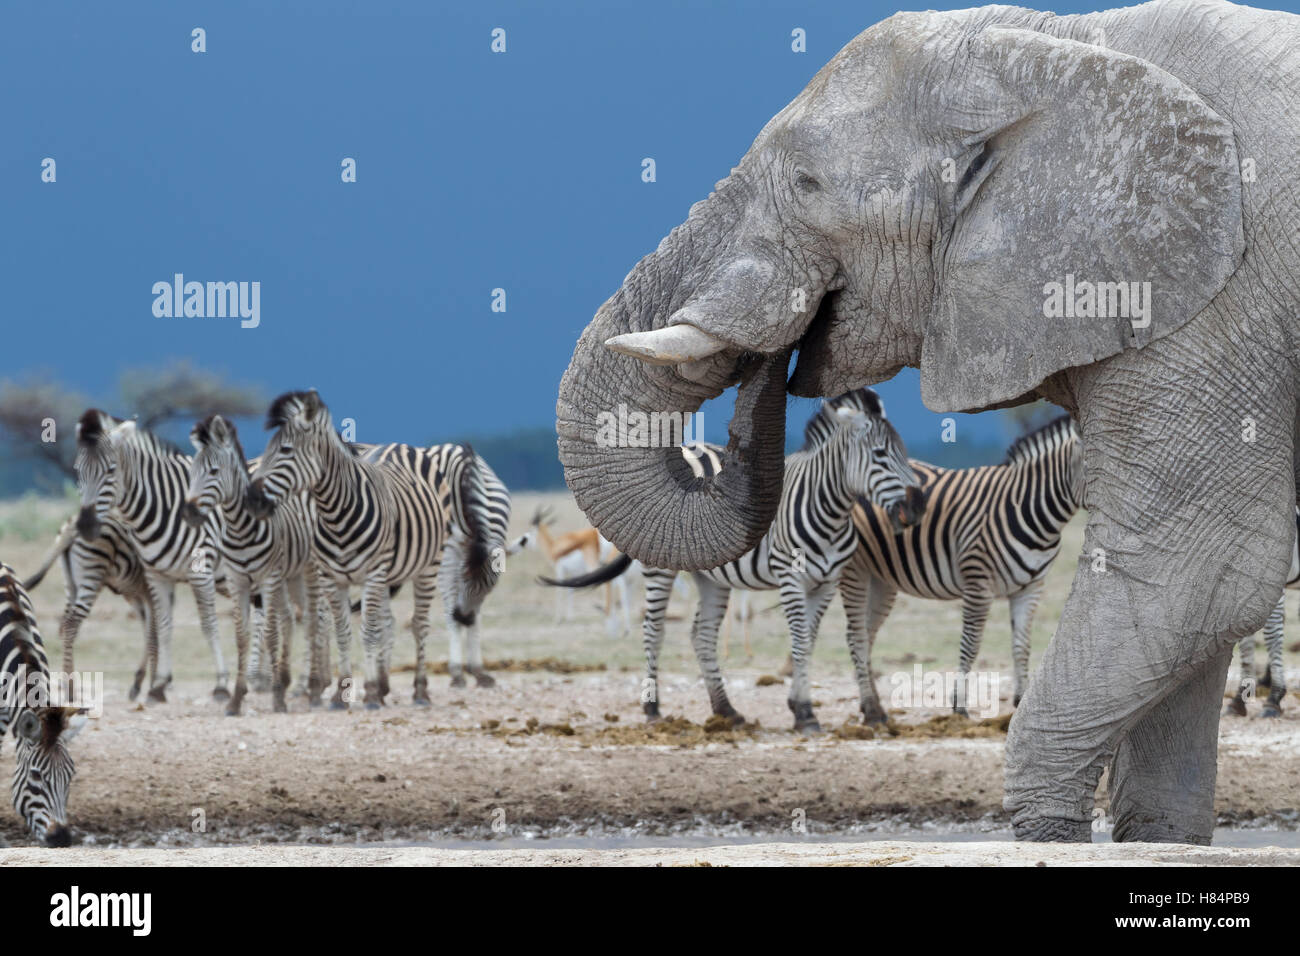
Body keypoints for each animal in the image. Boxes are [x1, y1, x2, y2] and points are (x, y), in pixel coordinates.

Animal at [75, 409, 229, 702]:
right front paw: (158, 686)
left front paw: (222, 685)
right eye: (78, 471)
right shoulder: (158, 575)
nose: (86, 525)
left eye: (110, 470)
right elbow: (165, 625)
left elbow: (209, 624)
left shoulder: (200, 572)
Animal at [182, 414, 342, 714]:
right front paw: (236, 698)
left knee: (314, 619)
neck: (240, 528)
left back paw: (314, 688)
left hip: (308, 571)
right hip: (290, 577)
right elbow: (242, 636)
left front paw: (277, 698)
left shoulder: (268, 579)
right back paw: (290, 679)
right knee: (291, 618)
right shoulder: (238, 581)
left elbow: (269, 633)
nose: (188, 512)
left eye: (214, 472)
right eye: (192, 473)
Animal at [547, 390, 923, 733]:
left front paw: (798, 704)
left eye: (905, 452)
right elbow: (800, 640)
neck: (830, 511)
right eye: (880, 455)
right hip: (660, 567)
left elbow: (809, 640)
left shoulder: (827, 582)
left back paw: (727, 711)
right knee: (654, 629)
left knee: (701, 635)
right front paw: (804, 713)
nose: (917, 506)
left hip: (710, 576)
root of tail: (687, 446)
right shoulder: (790, 578)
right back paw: (653, 710)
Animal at [840, 411, 1083, 722]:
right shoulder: (978, 582)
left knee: (867, 634)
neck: (1033, 511)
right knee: (855, 635)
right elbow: (971, 644)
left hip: (880, 577)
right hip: (854, 570)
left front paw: (1020, 701)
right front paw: (959, 706)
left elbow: (1022, 645)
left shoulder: (1030, 587)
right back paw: (872, 711)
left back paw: (873, 704)